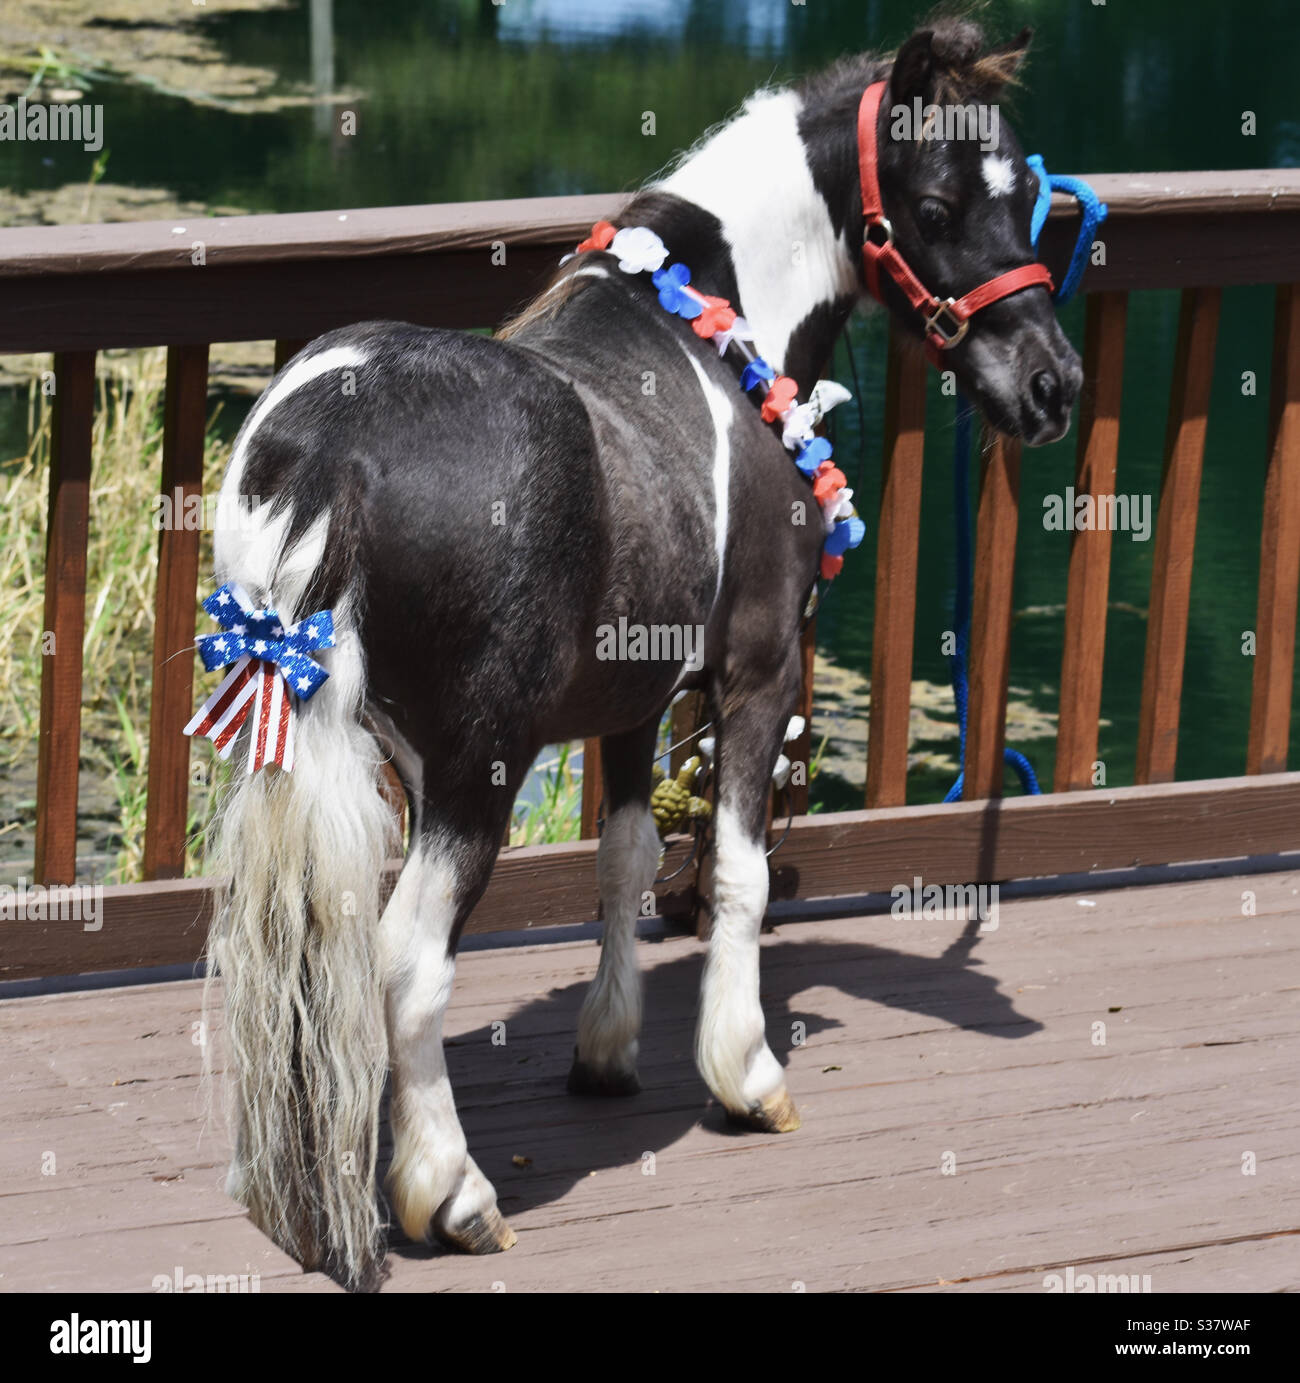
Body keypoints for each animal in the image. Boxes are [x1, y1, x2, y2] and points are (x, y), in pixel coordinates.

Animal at [202, 16, 1083, 1290]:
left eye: (1026, 194)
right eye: (931, 204)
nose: (1051, 384)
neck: (716, 329)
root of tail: (332, 448)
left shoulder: (626, 701)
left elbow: (623, 861)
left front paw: (607, 1053)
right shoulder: (756, 674)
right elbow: (737, 873)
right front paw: (745, 1072)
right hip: (470, 774)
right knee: (404, 962)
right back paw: (452, 1196)